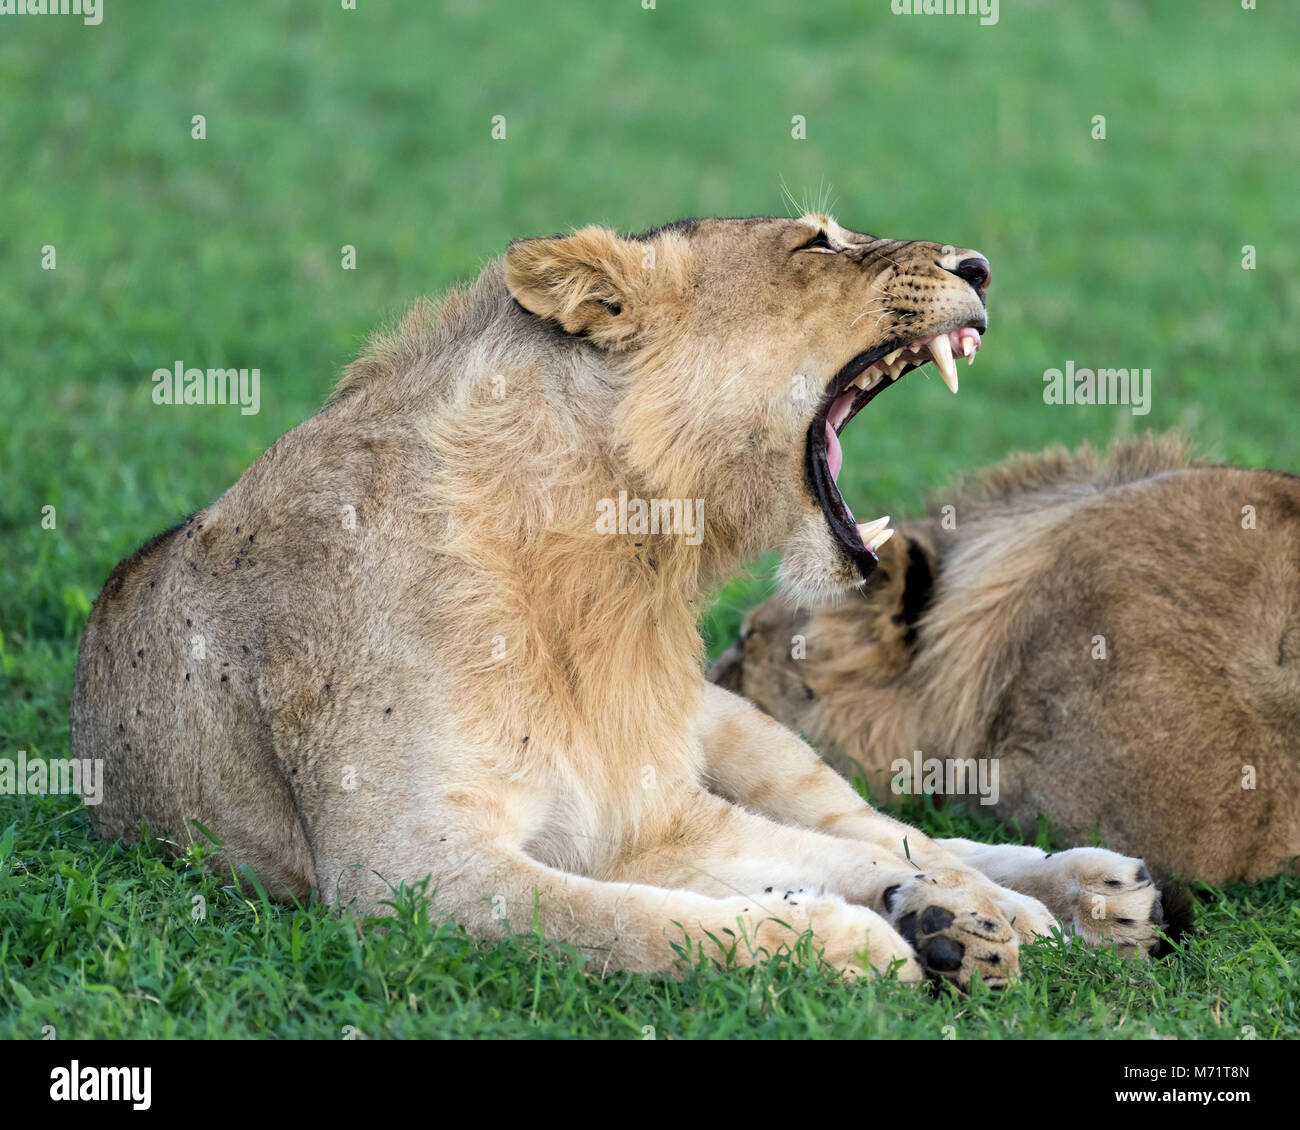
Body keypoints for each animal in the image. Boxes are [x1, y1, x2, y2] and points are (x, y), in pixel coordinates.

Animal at [72, 214, 1177, 990]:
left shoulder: (641, 809)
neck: (613, 566)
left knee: (887, 827)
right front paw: (859, 944)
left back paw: (1081, 889)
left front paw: (971, 913)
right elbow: (641, 921)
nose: (980, 268)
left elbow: (834, 852)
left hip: (744, 730)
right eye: (815, 241)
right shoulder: (417, 874)